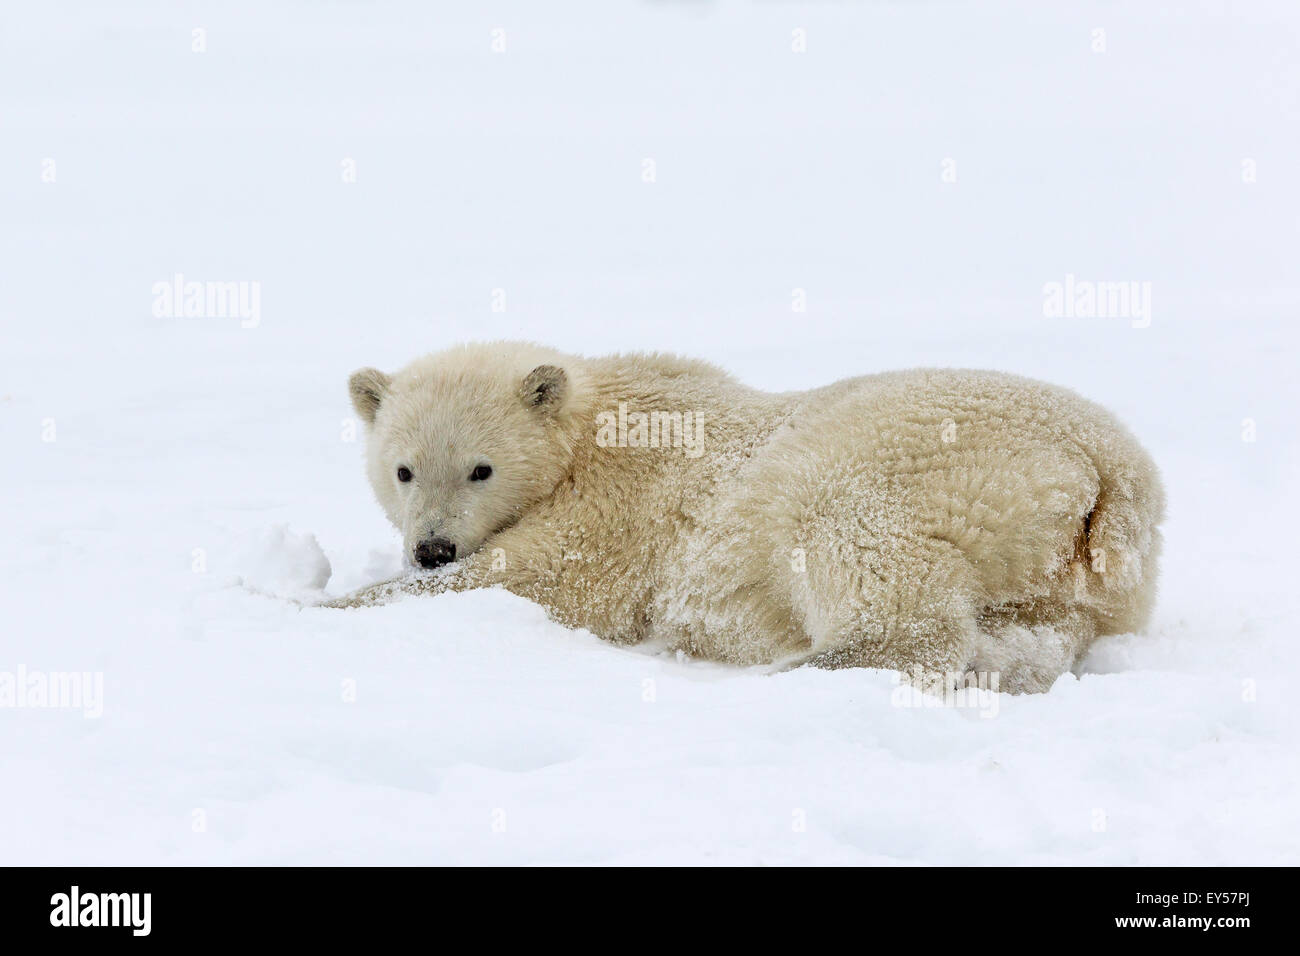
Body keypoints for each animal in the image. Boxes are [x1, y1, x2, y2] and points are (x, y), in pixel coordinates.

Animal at [328, 342, 1165, 694]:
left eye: (482, 468)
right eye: (402, 469)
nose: (432, 548)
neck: (594, 421)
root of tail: (1112, 461)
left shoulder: (622, 501)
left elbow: (549, 578)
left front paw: (322, 604)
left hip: (912, 461)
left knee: (862, 558)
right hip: (1085, 565)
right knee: (1040, 627)